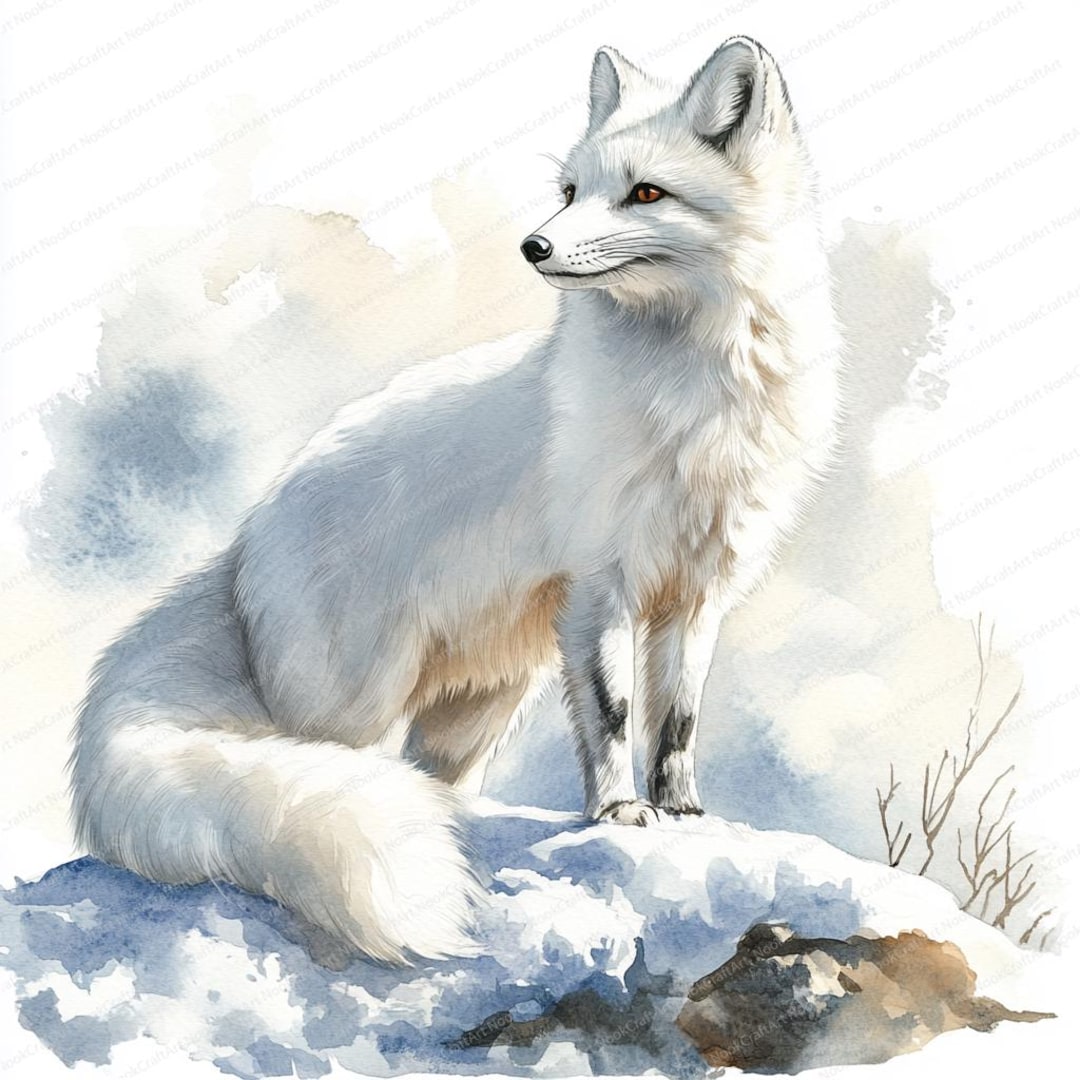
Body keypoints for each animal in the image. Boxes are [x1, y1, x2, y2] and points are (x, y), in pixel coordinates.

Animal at [69, 38, 841, 965]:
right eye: (571, 190)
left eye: (647, 192)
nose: (534, 245)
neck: (701, 402)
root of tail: (246, 537)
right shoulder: (603, 585)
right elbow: (617, 714)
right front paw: (620, 810)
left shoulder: (698, 591)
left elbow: (678, 720)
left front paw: (682, 811)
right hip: (353, 703)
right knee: (347, 769)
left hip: (481, 705)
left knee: (435, 779)